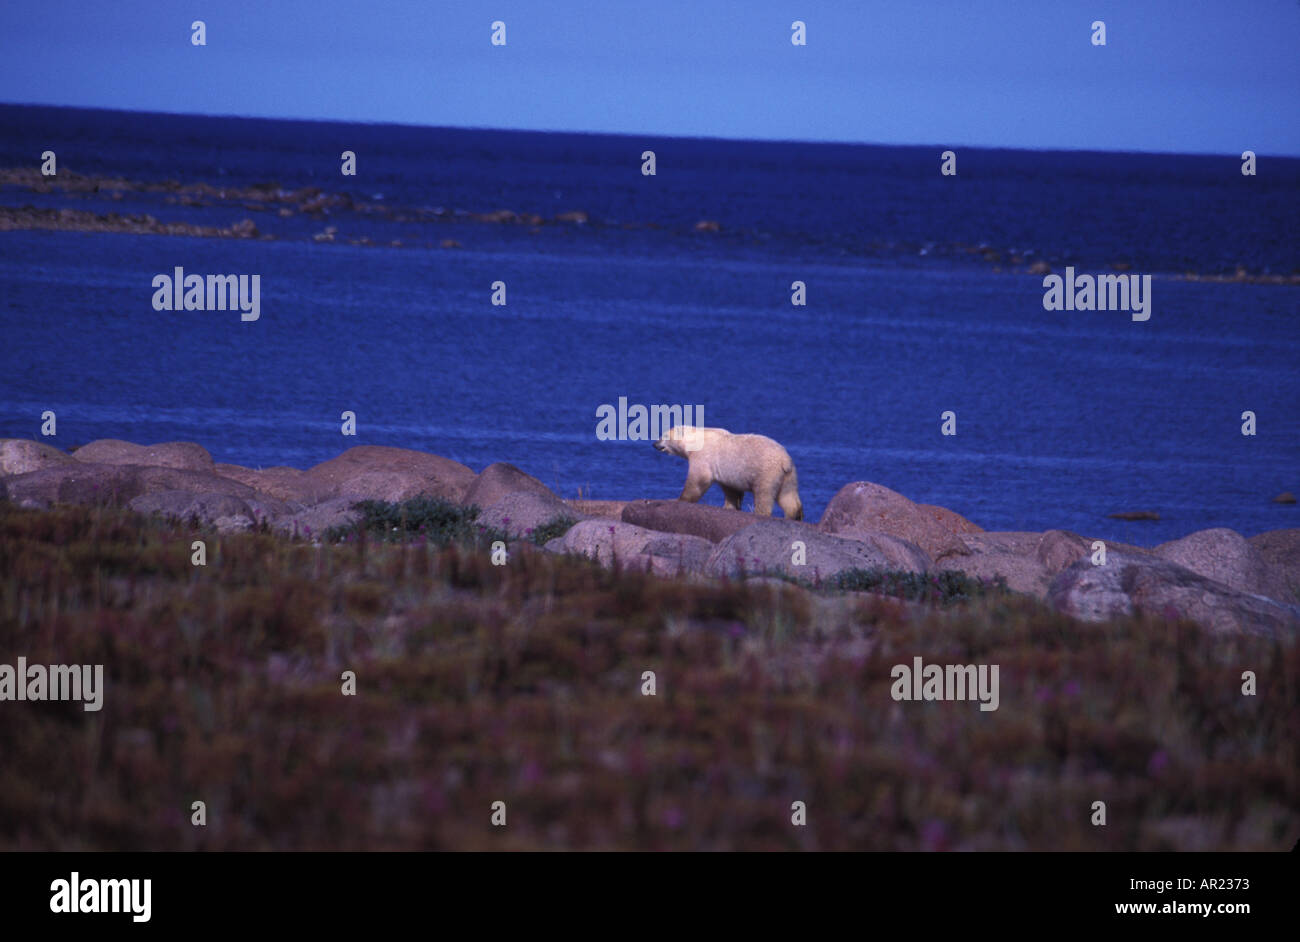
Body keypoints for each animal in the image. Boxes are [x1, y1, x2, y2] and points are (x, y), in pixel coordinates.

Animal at [653, 426, 803, 520]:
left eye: (664, 435)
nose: (654, 444)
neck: (696, 440)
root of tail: (785, 460)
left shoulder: (704, 456)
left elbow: (698, 479)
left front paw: (679, 499)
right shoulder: (726, 472)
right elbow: (731, 489)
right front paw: (729, 506)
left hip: (766, 471)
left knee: (764, 494)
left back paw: (761, 513)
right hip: (789, 475)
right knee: (788, 495)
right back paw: (795, 515)